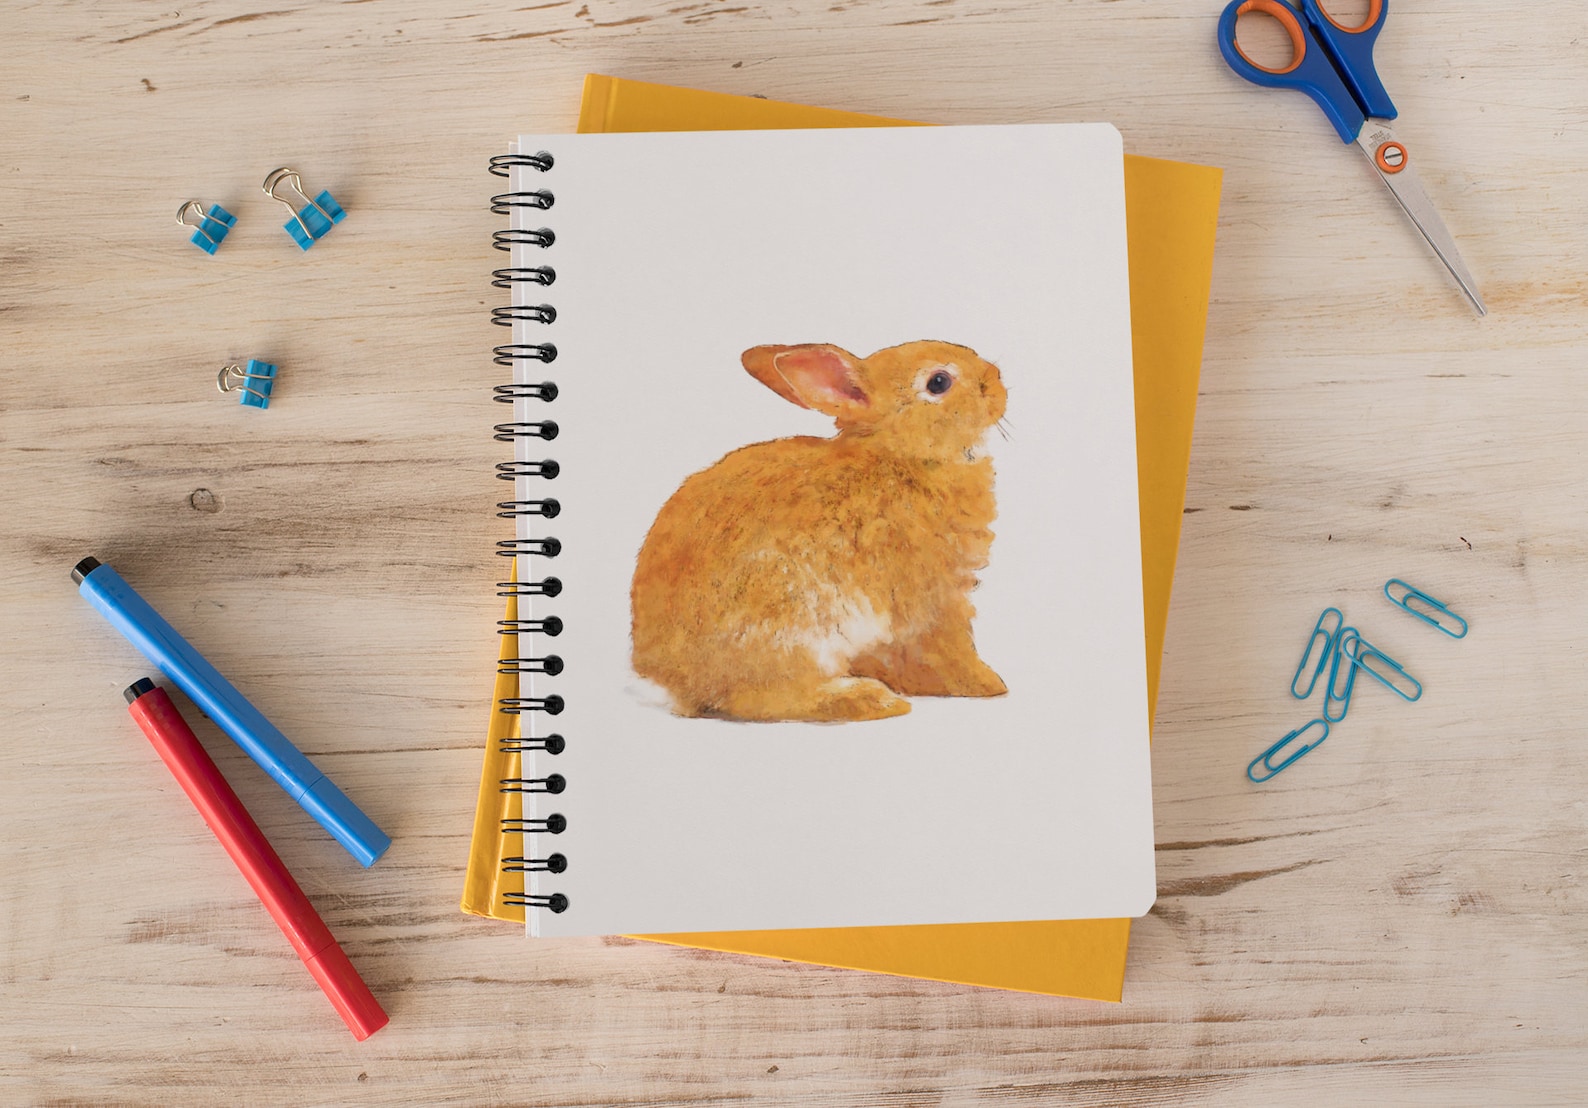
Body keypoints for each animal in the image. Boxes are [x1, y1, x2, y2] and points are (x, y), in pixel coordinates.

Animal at [630, 340, 1009, 722]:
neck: (903, 456)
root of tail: (673, 676)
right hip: (793, 627)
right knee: (766, 696)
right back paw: (869, 699)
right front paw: (987, 684)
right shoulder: (934, 600)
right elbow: (947, 649)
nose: (997, 381)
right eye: (939, 382)